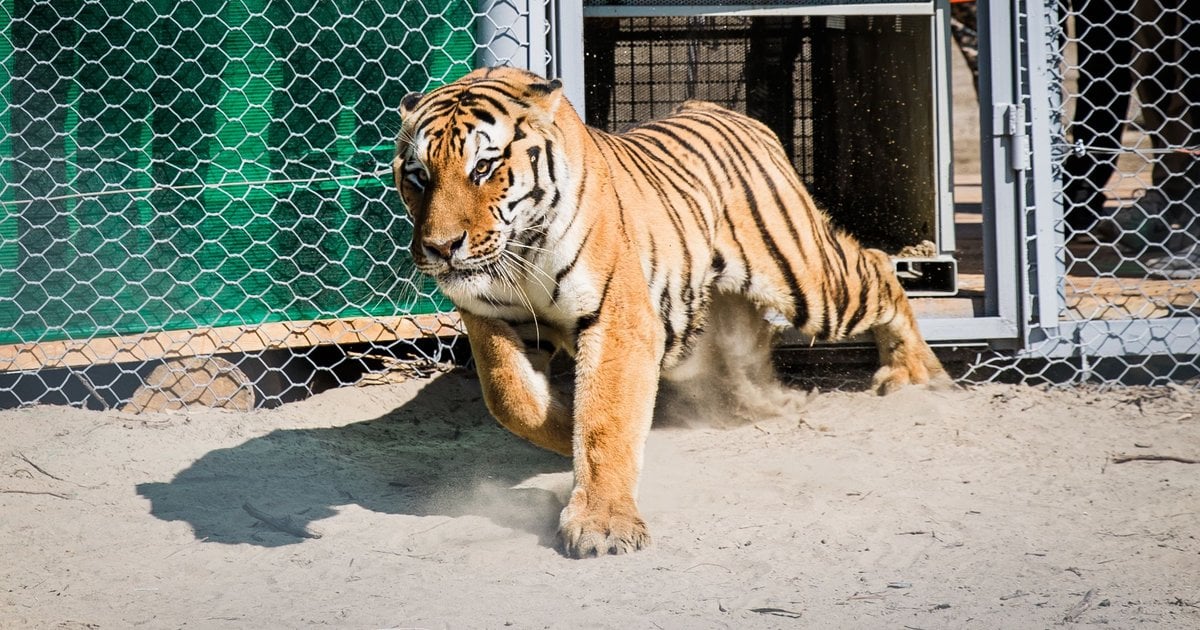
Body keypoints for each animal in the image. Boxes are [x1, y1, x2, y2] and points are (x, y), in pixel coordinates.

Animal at [393, 66, 951, 558]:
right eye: (419, 176)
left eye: (483, 168)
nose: (440, 248)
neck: (521, 249)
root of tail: (718, 108)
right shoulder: (491, 317)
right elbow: (512, 398)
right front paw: (563, 426)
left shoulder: (618, 319)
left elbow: (606, 420)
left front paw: (602, 524)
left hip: (809, 282)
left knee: (878, 265)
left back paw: (917, 373)